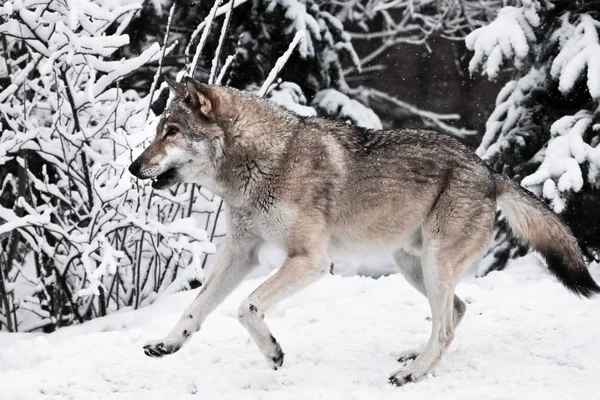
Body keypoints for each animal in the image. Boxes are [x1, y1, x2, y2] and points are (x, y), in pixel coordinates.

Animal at [127, 76, 600, 386]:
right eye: (157, 131)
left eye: (171, 132)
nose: (132, 167)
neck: (264, 161)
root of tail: (490, 171)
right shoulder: (240, 254)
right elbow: (195, 308)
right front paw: (167, 345)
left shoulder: (310, 261)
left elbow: (246, 307)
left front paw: (274, 353)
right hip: (412, 265)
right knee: (456, 311)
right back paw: (417, 357)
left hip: (432, 264)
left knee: (446, 326)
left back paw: (412, 373)